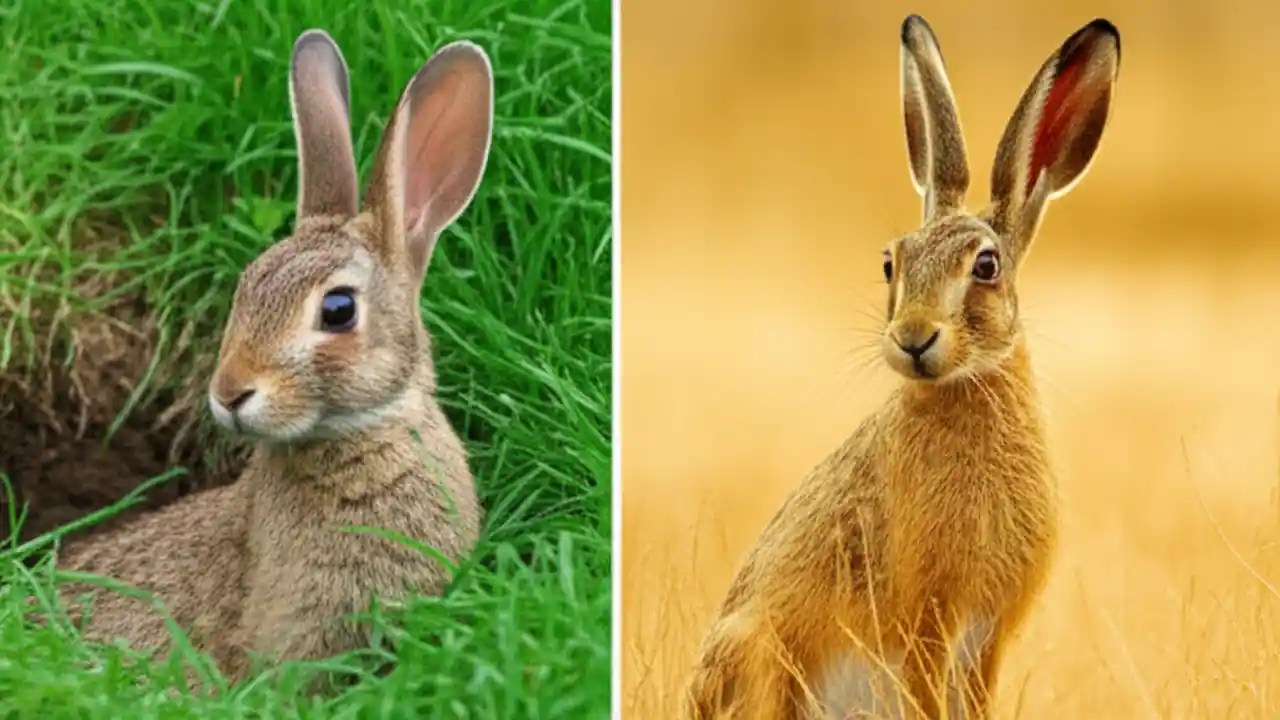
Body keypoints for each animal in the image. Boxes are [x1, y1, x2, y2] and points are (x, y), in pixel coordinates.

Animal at [684, 15, 1120, 720]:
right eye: (892, 262)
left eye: (986, 265)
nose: (913, 339)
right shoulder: (923, 624)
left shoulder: (983, 635)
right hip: (761, 658)